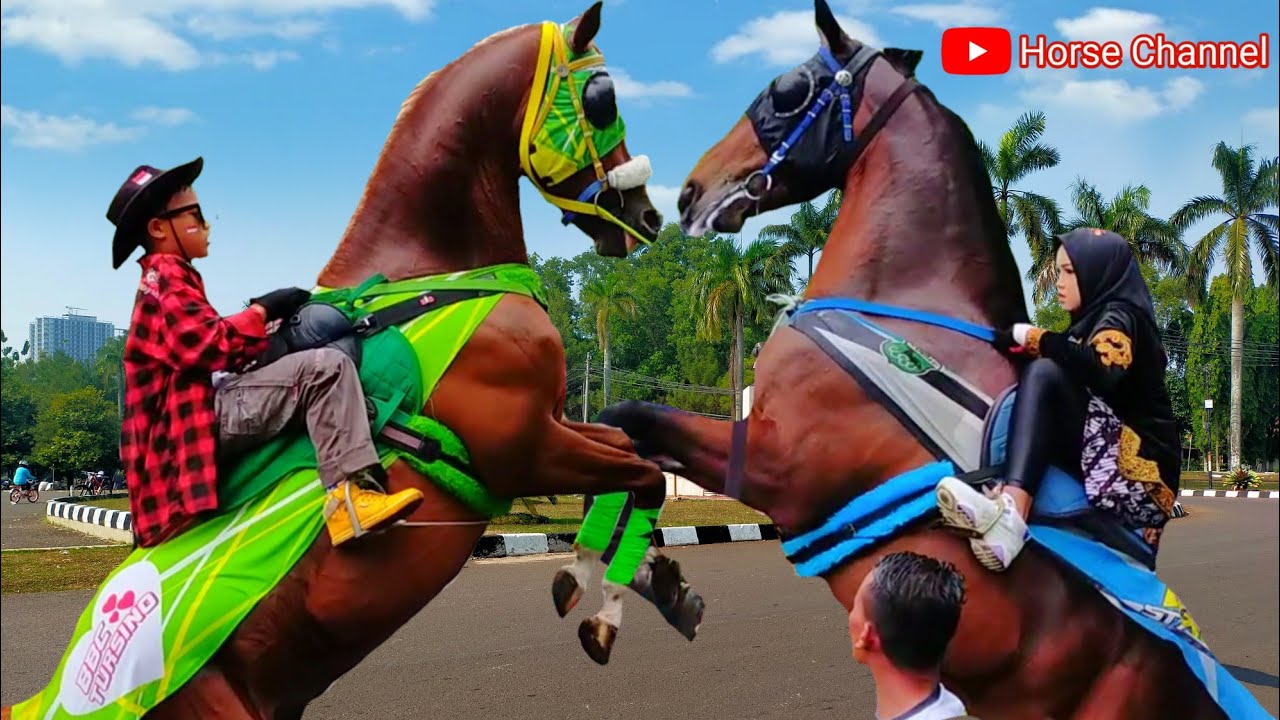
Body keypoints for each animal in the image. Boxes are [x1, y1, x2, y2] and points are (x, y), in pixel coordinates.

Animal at [3, 4, 701, 718]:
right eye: (601, 97)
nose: (645, 216)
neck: (439, 278)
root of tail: (56, 698)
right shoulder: (522, 450)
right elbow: (644, 475)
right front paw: (604, 602)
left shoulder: (555, 428)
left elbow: (634, 460)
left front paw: (654, 583)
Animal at [579, 1, 1244, 718]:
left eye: (787, 91)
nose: (690, 193)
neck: (895, 304)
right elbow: (624, 431)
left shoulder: (774, 460)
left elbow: (635, 426)